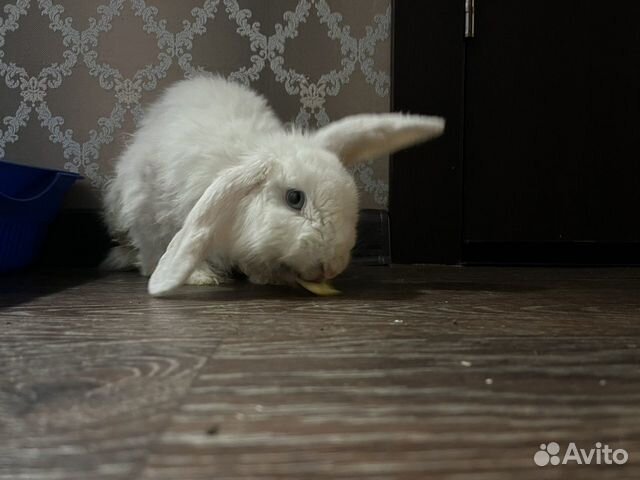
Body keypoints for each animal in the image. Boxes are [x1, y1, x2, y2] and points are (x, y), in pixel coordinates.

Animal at [102, 75, 444, 296]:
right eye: (295, 198)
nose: (331, 267)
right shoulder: (156, 212)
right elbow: (165, 245)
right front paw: (200, 277)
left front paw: (268, 277)